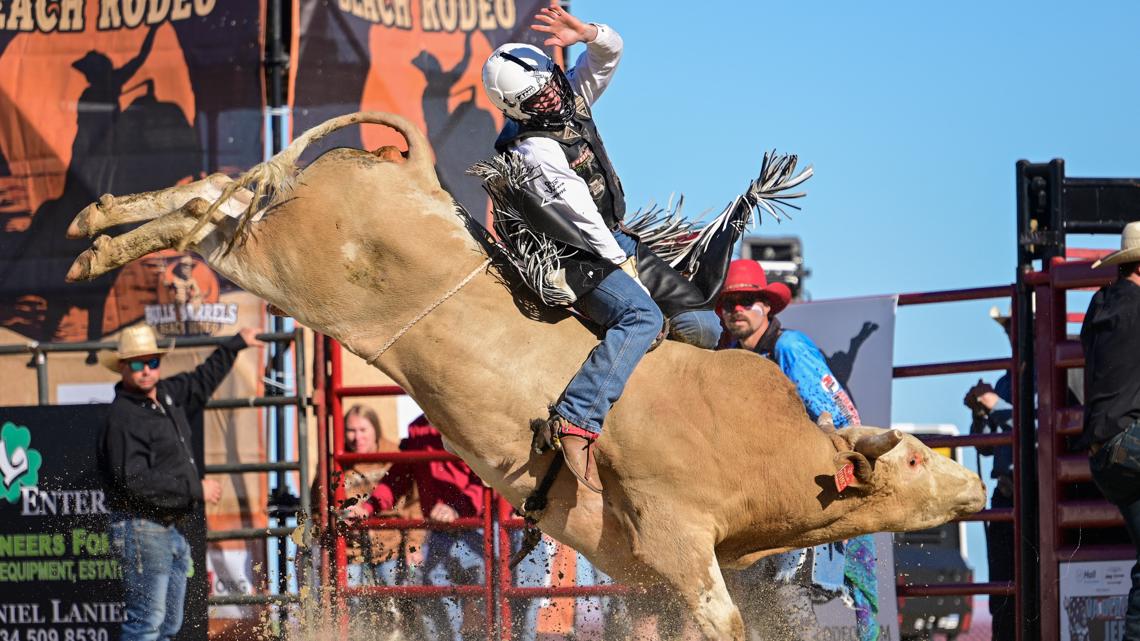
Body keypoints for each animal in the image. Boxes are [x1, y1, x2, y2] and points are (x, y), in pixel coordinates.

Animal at [65, 111, 986, 641]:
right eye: (911, 456)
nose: (975, 486)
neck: (773, 454)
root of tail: (412, 176)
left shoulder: (642, 575)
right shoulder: (677, 538)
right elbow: (722, 617)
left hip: (282, 238)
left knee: (214, 190)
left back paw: (93, 226)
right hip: (286, 261)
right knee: (211, 214)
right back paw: (98, 243)